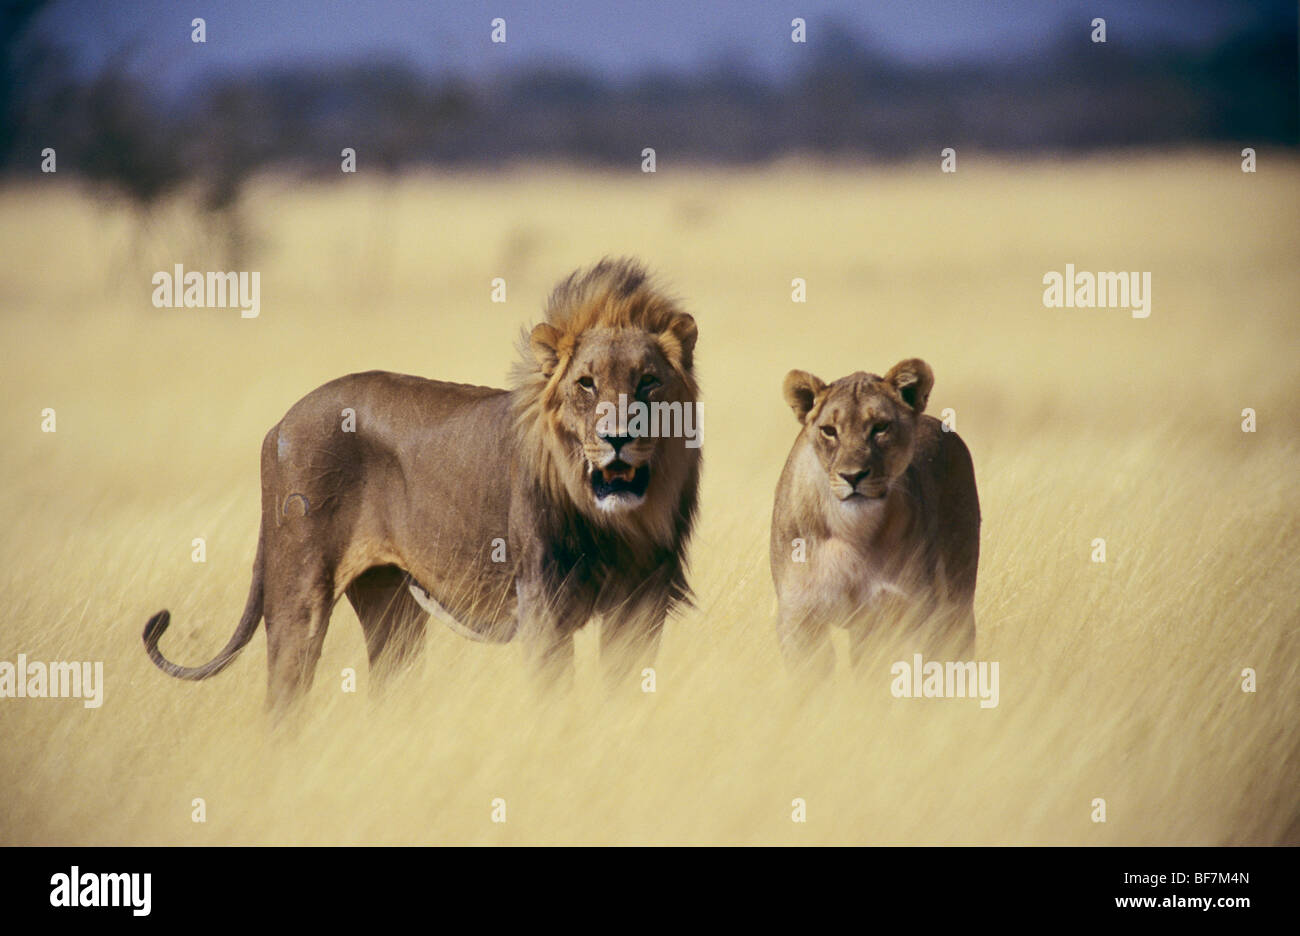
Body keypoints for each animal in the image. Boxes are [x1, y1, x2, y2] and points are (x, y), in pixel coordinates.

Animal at [143, 258, 701, 711]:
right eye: (586, 383)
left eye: (648, 381)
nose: (618, 437)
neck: (618, 523)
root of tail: (279, 425)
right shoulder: (543, 606)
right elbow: (554, 698)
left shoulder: (643, 605)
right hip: (298, 593)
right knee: (284, 698)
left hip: (392, 606)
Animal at [769, 359, 979, 676]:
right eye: (829, 430)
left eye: (880, 427)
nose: (852, 476)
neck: (850, 532)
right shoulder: (799, 616)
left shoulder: (912, 611)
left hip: (957, 597)